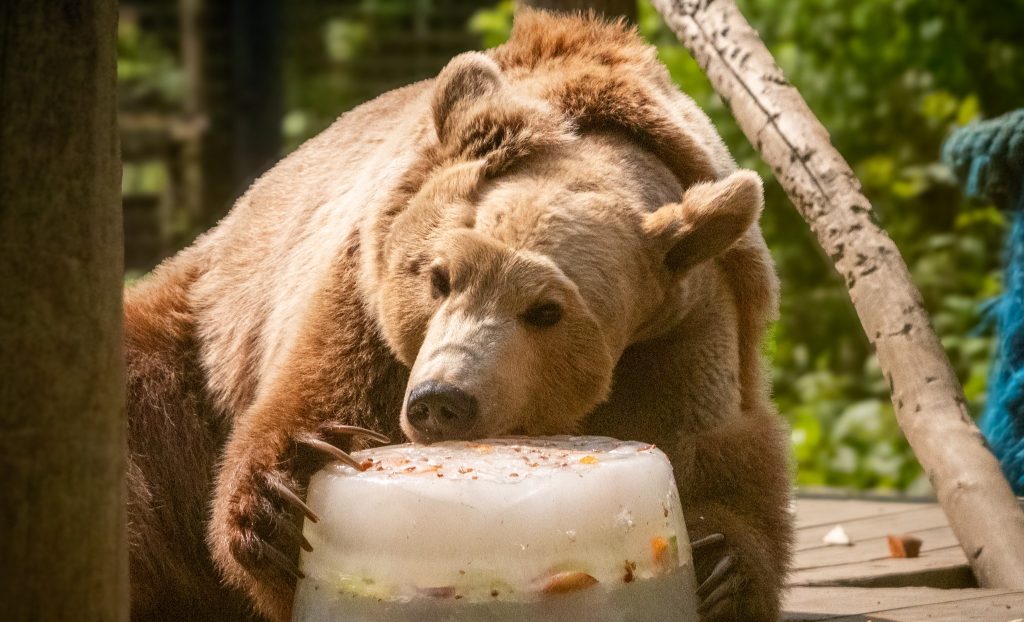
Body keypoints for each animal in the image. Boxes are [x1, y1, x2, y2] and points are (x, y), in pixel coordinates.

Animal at [125, 9, 792, 622]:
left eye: (545, 311)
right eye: (438, 278)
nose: (441, 399)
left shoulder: (686, 330)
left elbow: (715, 457)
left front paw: (718, 560)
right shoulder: (363, 301)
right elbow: (315, 401)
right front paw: (288, 497)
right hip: (196, 345)